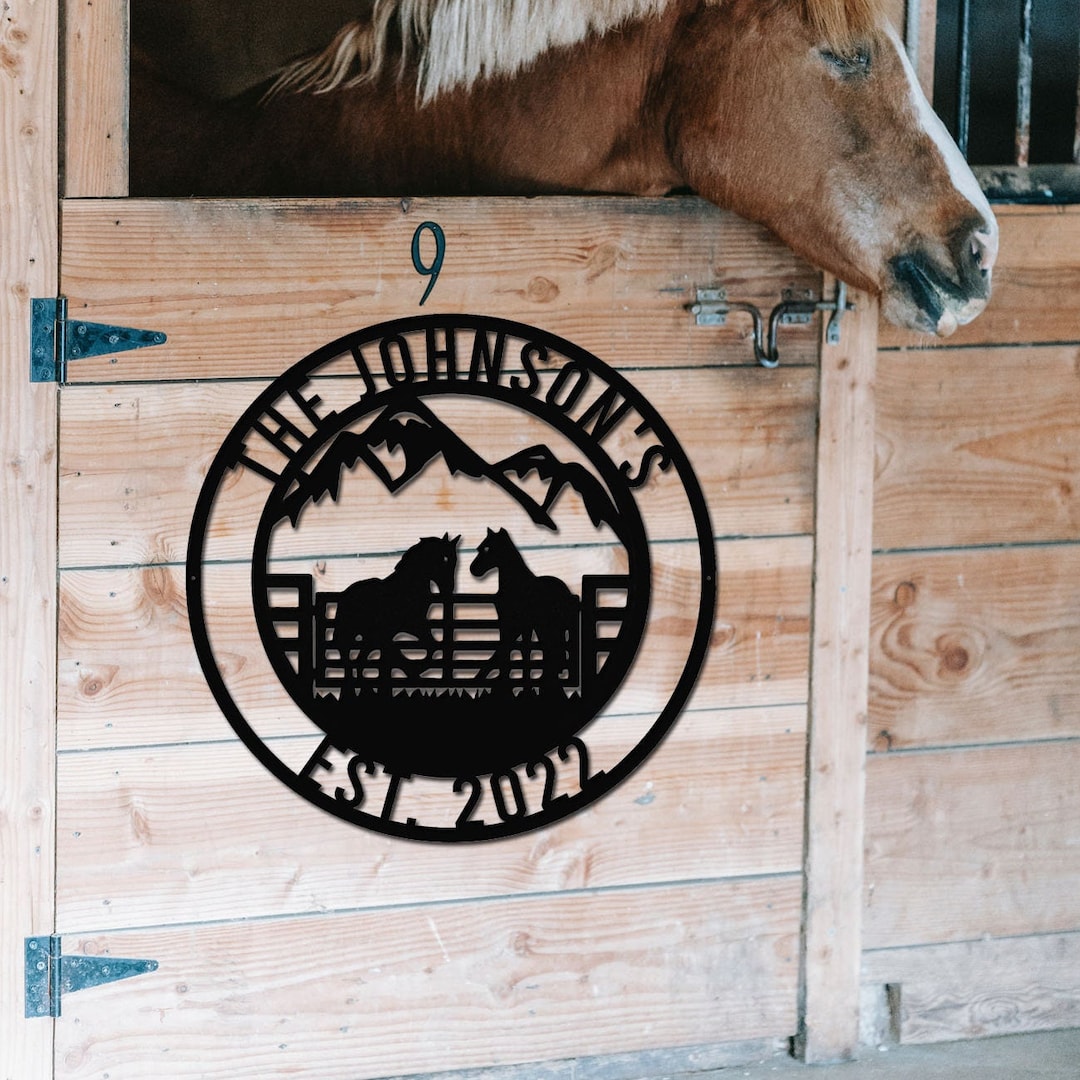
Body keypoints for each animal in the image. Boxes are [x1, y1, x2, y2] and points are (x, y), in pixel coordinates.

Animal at [332, 532, 459, 688]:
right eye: (445, 559)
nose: (449, 588)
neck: (408, 587)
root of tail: (344, 597)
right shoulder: (410, 626)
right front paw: (415, 668)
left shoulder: (416, 625)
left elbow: (433, 645)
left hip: (368, 638)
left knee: (358, 661)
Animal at [469, 527, 580, 684]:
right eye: (480, 548)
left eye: (486, 548)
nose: (473, 569)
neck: (516, 585)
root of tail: (568, 593)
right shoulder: (508, 623)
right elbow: (514, 649)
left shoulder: (521, 625)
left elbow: (517, 649)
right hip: (545, 627)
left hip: (550, 626)